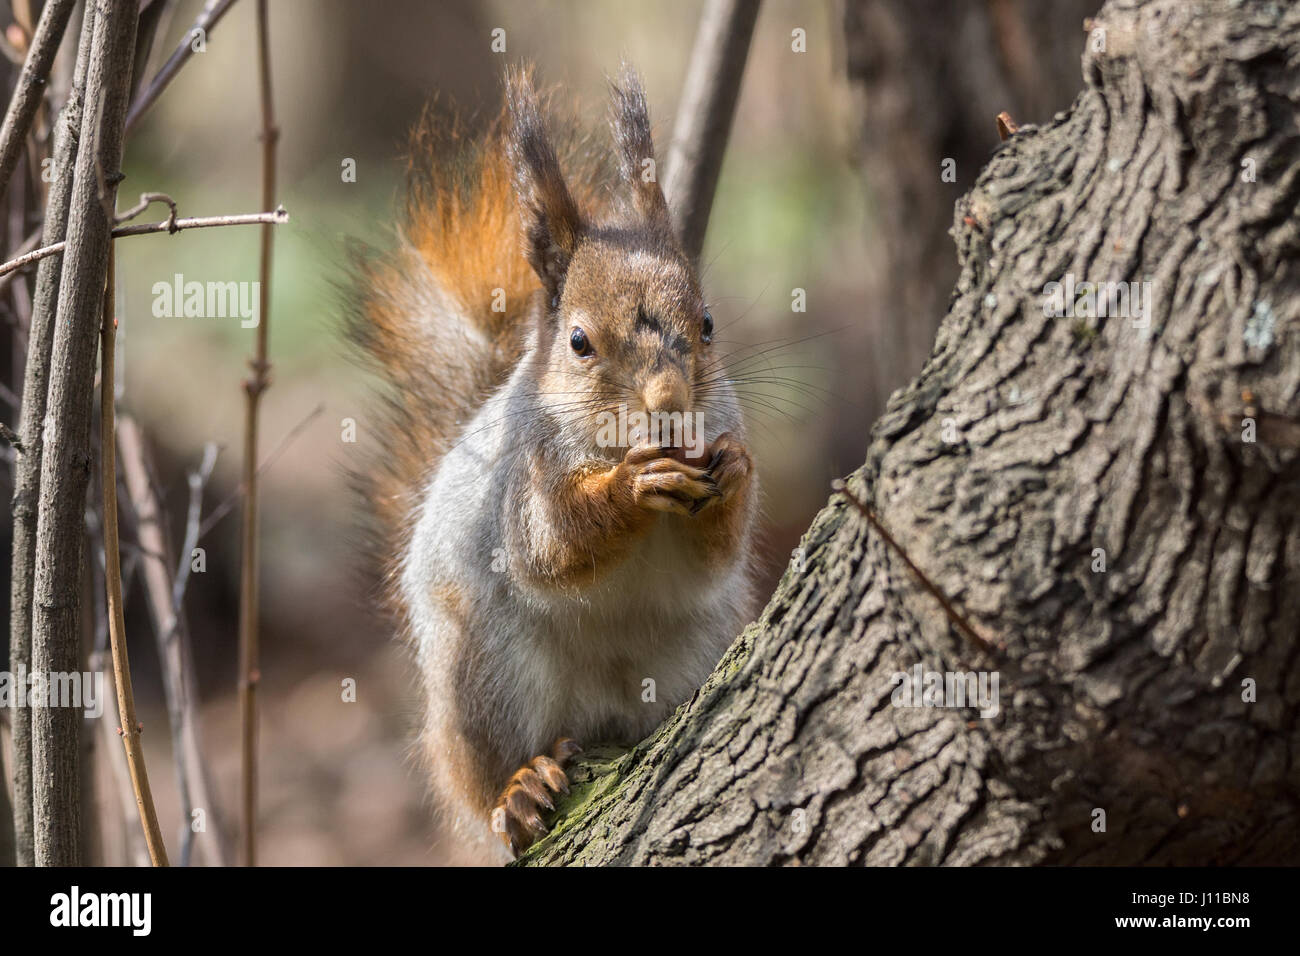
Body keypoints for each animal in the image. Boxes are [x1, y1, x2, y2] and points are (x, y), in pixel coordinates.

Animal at [345, 65, 759, 862]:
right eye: (578, 342)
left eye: (708, 324)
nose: (669, 402)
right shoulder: (522, 481)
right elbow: (552, 547)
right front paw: (630, 488)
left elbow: (712, 559)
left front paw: (731, 471)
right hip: (484, 675)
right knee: (479, 783)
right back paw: (518, 792)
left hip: (693, 653)